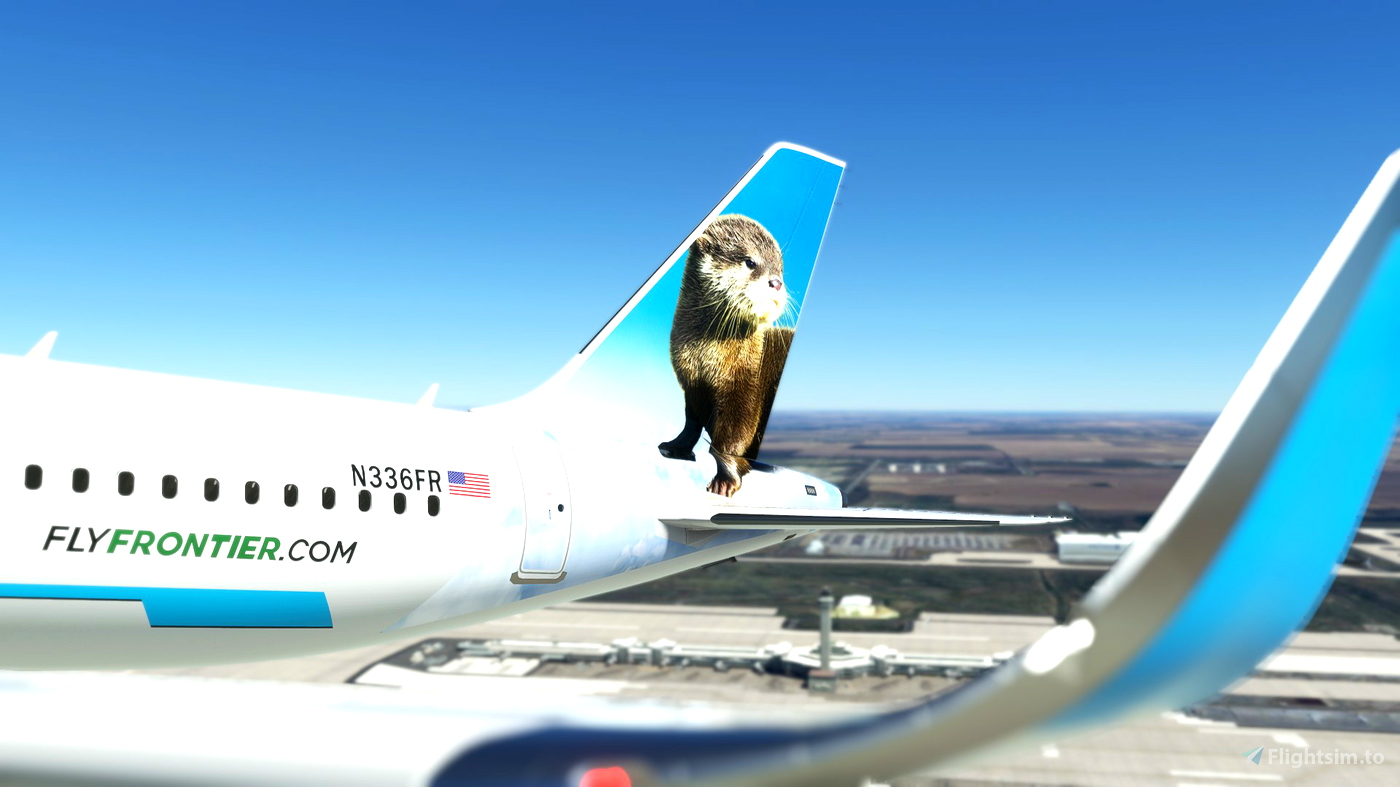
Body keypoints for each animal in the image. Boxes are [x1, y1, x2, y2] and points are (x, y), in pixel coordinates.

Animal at [658, 214, 793, 497]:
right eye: (750, 261)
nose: (776, 282)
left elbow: (732, 438)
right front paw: (674, 447)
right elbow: (691, 423)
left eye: (780, 269)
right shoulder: (692, 386)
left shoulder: (744, 388)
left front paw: (725, 480)